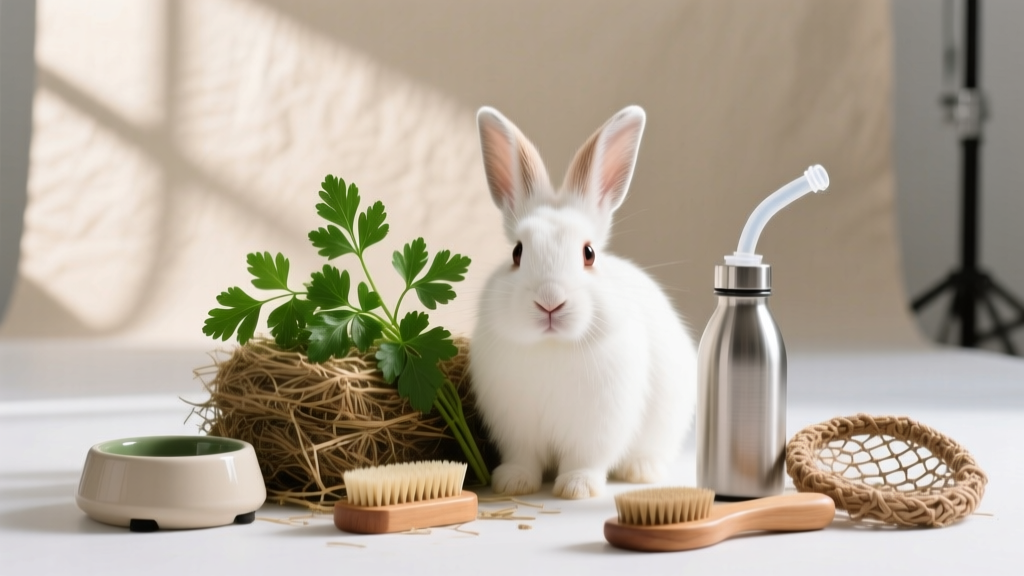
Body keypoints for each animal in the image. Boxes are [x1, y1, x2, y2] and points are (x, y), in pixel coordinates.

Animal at [469, 105, 697, 499]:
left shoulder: (597, 429)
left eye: (588, 253)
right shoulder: (516, 428)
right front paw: (513, 483)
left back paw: (642, 471)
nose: (549, 302)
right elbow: (523, 458)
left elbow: (585, 459)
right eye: (517, 252)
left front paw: (576, 488)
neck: (551, 347)